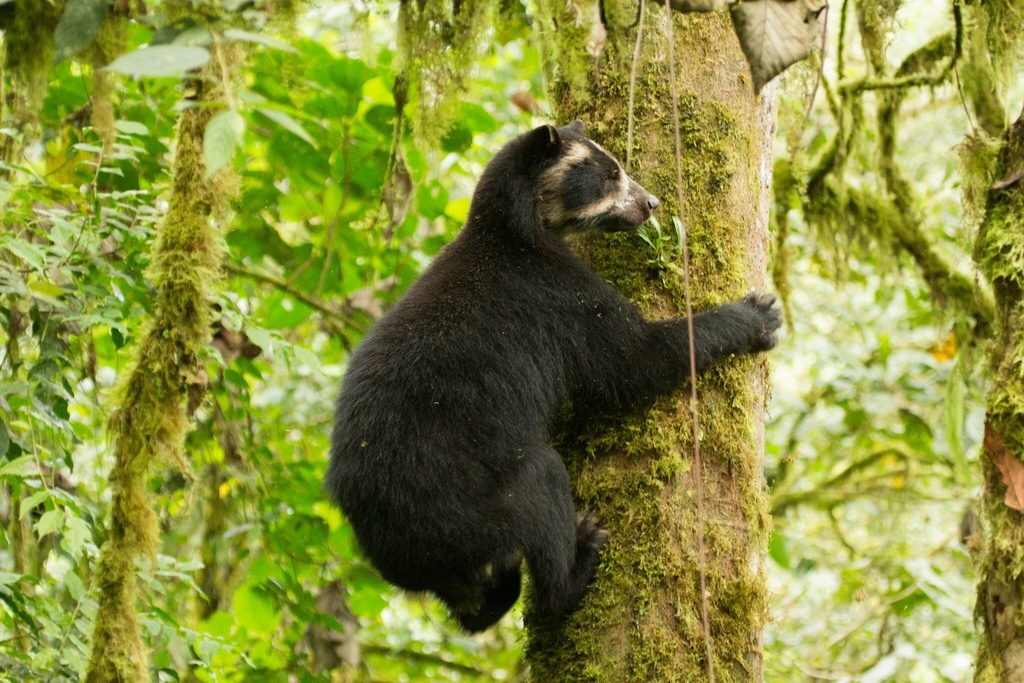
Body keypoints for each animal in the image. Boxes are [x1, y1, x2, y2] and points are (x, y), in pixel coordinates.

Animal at [325, 120, 781, 632]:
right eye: (609, 173)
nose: (652, 203)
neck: (515, 227)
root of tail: (397, 554)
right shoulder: (554, 293)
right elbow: (633, 359)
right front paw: (757, 315)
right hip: (476, 498)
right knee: (542, 492)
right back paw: (581, 553)